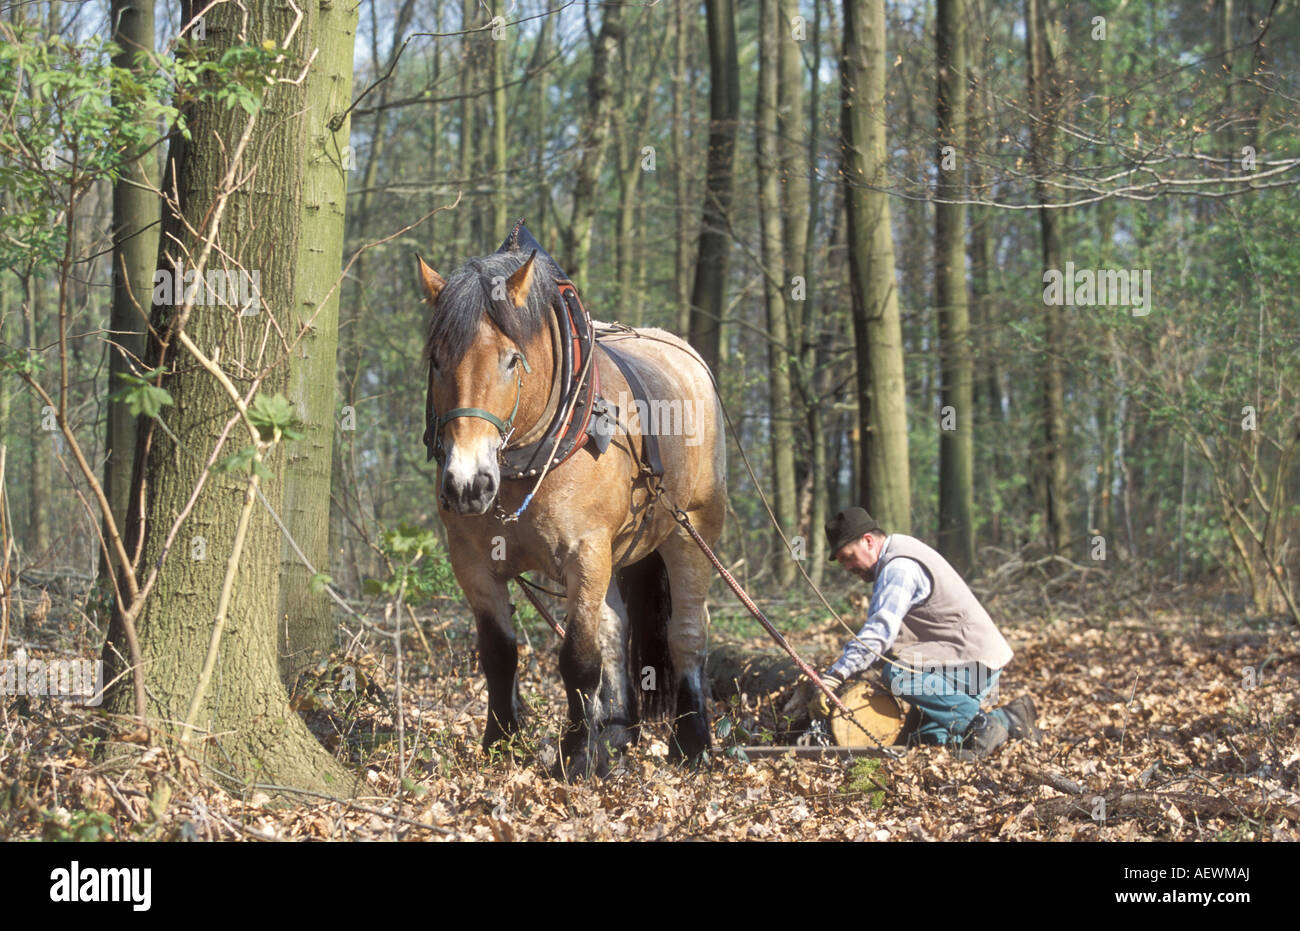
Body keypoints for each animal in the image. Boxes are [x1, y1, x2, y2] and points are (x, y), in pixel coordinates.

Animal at [417, 223, 726, 779]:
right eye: (436, 360)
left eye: (511, 359)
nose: (467, 484)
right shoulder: (472, 562)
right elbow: (500, 653)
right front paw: (500, 743)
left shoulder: (586, 553)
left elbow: (578, 657)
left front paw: (578, 754)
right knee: (616, 628)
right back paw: (618, 733)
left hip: (693, 528)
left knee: (688, 633)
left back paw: (691, 743)